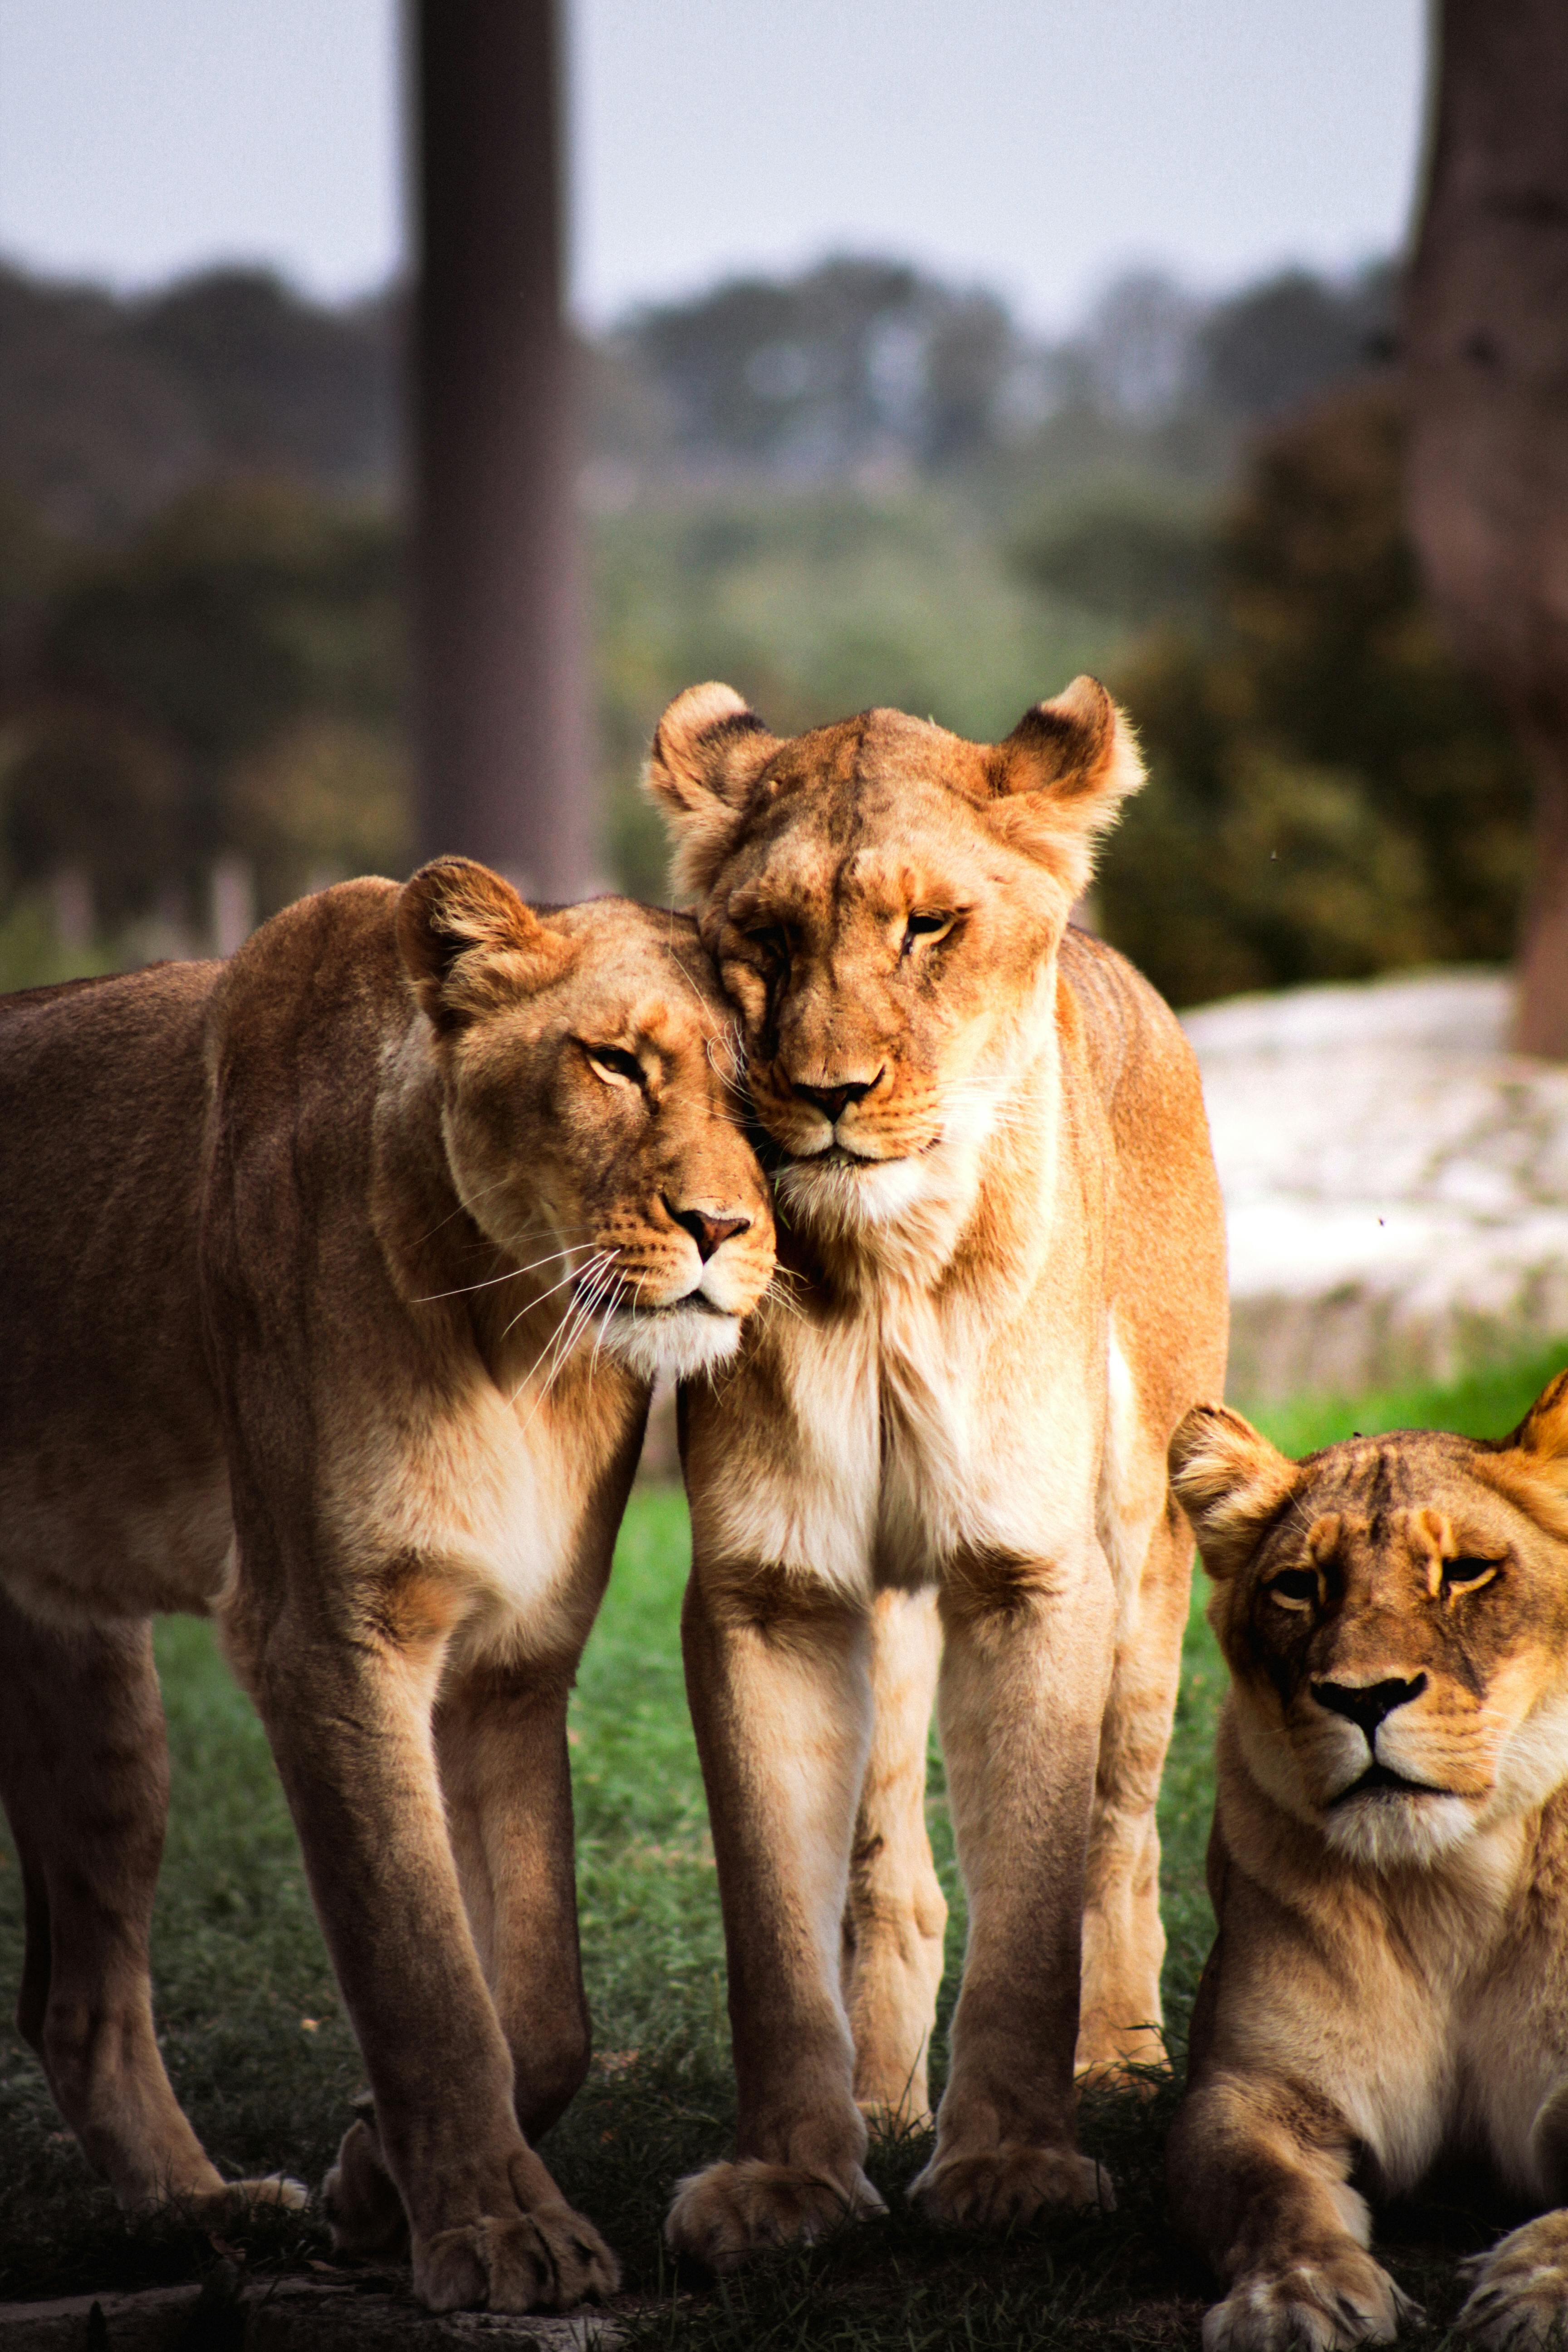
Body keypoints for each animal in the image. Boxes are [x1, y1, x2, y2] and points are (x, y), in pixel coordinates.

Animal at [0, 858, 774, 2313]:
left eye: (773, 1094)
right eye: (613, 1063)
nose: (719, 1227)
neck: (521, 1337)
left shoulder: (515, 1664)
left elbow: (538, 2012)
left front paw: (371, 2187)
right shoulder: (329, 1637)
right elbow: (421, 1976)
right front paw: (496, 2231)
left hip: (93, 1690)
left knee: (75, 2001)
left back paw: (207, 2214)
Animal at [643, 677, 1228, 2264]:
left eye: (928, 929)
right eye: (769, 937)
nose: (830, 1092)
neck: (886, 1277)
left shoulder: (1039, 1576)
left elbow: (1034, 1894)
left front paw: (1016, 2168)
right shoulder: (770, 1593)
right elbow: (777, 1924)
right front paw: (786, 2177)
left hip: (1152, 1556)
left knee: (1120, 1832)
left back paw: (1122, 2064)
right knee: (889, 1869)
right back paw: (886, 2102)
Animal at [1168, 1376, 1568, 2351]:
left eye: (1463, 1570)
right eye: (1299, 1584)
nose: (1364, 1696)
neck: (1448, 1887)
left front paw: (1534, 2290)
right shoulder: (1251, 2089)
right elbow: (1267, 2195)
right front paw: (1295, 2297)